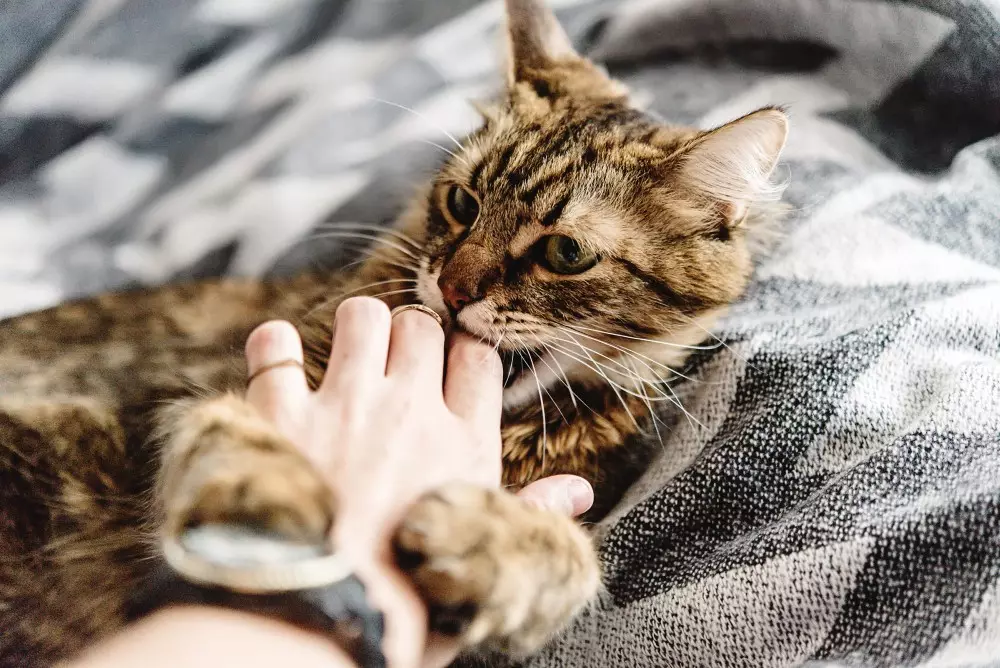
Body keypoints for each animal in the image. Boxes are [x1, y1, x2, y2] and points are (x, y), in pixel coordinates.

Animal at [0, 0, 784, 664]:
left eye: (567, 253)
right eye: (462, 203)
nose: (455, 287)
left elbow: (572, 557)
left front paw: (495, 545)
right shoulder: (191, 398)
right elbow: (237, 433)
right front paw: (273, 503)